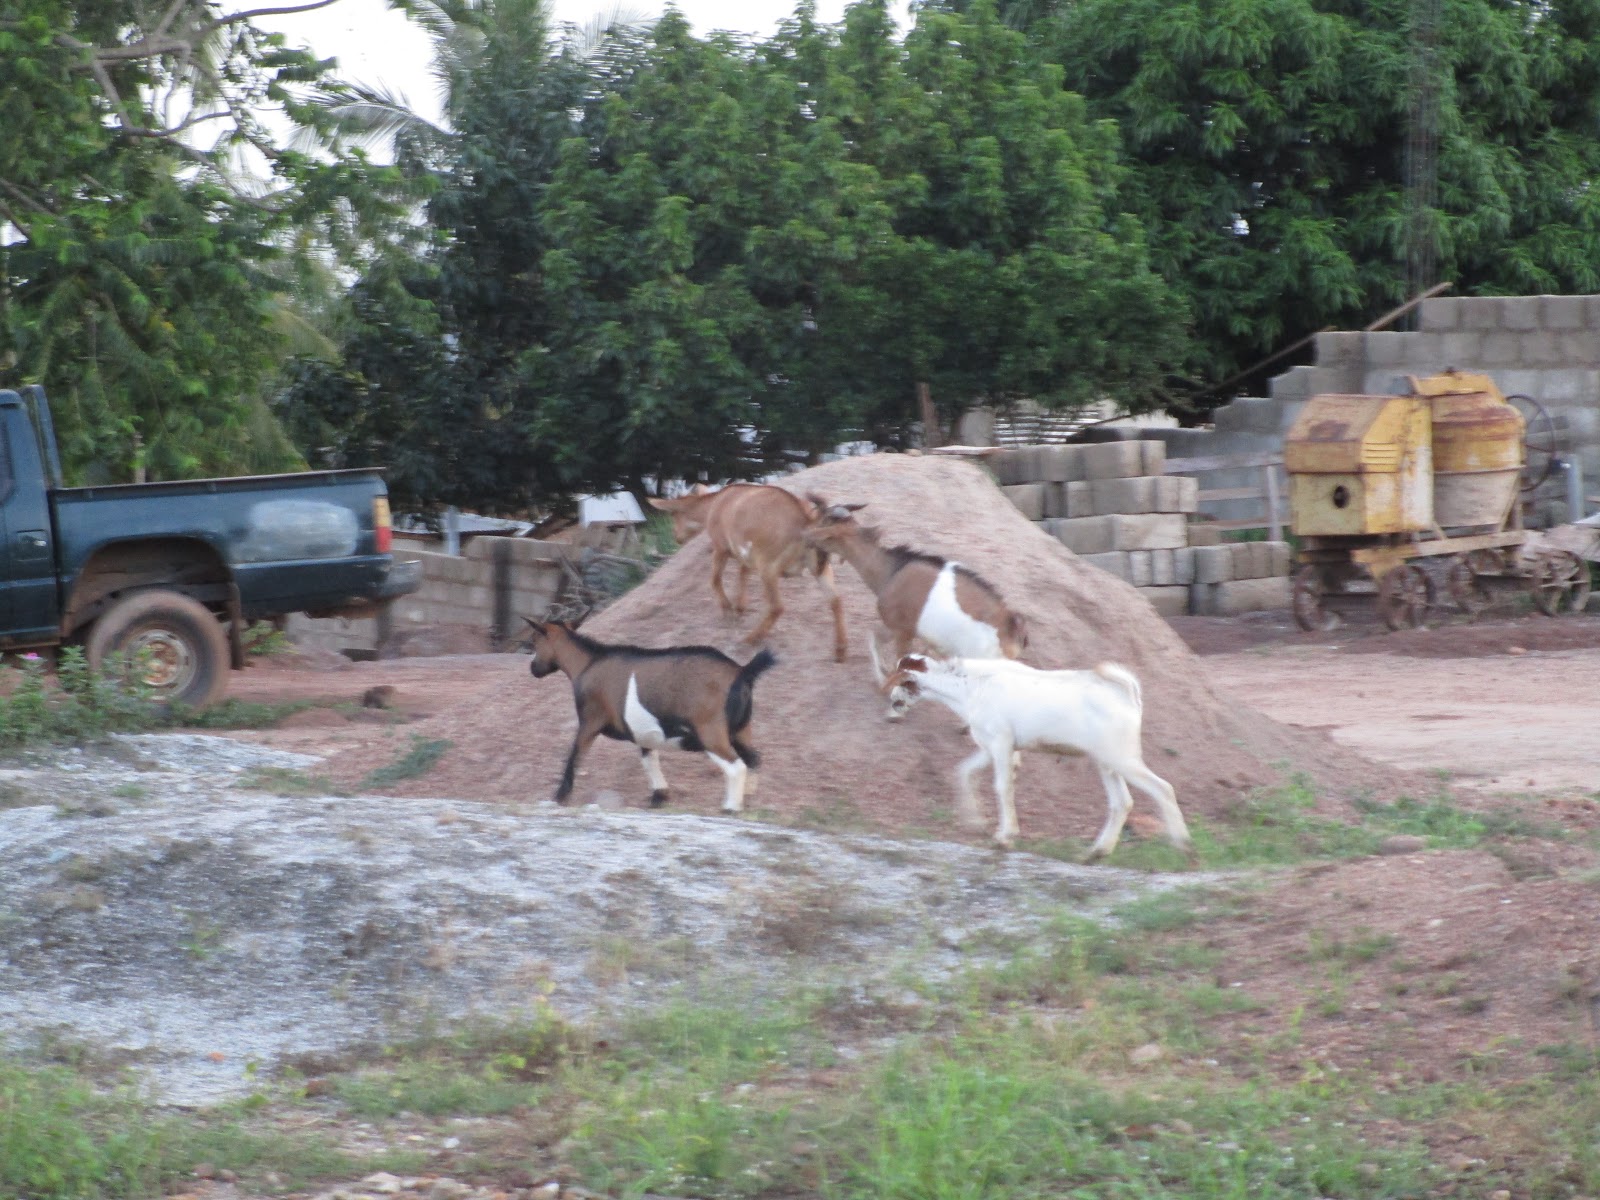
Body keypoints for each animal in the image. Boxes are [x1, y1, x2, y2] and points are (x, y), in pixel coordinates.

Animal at [524, 618, 776, 813]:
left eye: (535, 640)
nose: (533, 669)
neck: (588, 663)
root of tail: (742, 672)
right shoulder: (643, 732)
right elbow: (649, 759)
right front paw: (659, 796)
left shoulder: (590, 721)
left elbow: (574, 755)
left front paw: (559, 796)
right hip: (741, 729)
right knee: (753, 758)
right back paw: (746, 801)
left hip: (710, 732)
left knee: (736, 765)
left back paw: (730, 807)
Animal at [648, 484, 848, 662]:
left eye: (674, 515)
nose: (676, 537)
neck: (714, 505)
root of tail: (807, 519)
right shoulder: (748, 555)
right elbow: (743, 572)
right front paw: (740, 606)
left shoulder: (721, 548)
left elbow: (715, 578)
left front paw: (728, 610)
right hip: (819, 567)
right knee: (836, 600)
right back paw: (840, 651)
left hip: (768, 568)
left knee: (777, 607)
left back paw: (750, 639)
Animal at [802, 500, 1026, 708]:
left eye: (824, 523)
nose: (806, 535)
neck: (890, 572)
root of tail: (1013, 630)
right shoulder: (896, 626)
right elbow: (874, 638)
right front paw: (884, 677)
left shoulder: (902, 631)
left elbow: (899, 659)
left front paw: (890, 687)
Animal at [882, 654, 1190, 859]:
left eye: (903, 681)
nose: (892, 704)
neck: (971, 688)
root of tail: (1125, 695)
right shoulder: (991, 747)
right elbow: (964, 772)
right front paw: (975, 822)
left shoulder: (1001, 743)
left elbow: (1002, 787)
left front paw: (1004, 838)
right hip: (1106, 762)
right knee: (1122, 802)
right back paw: (1097, 852)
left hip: (1122, 758)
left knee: (1163, 788)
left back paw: (1183, 845)